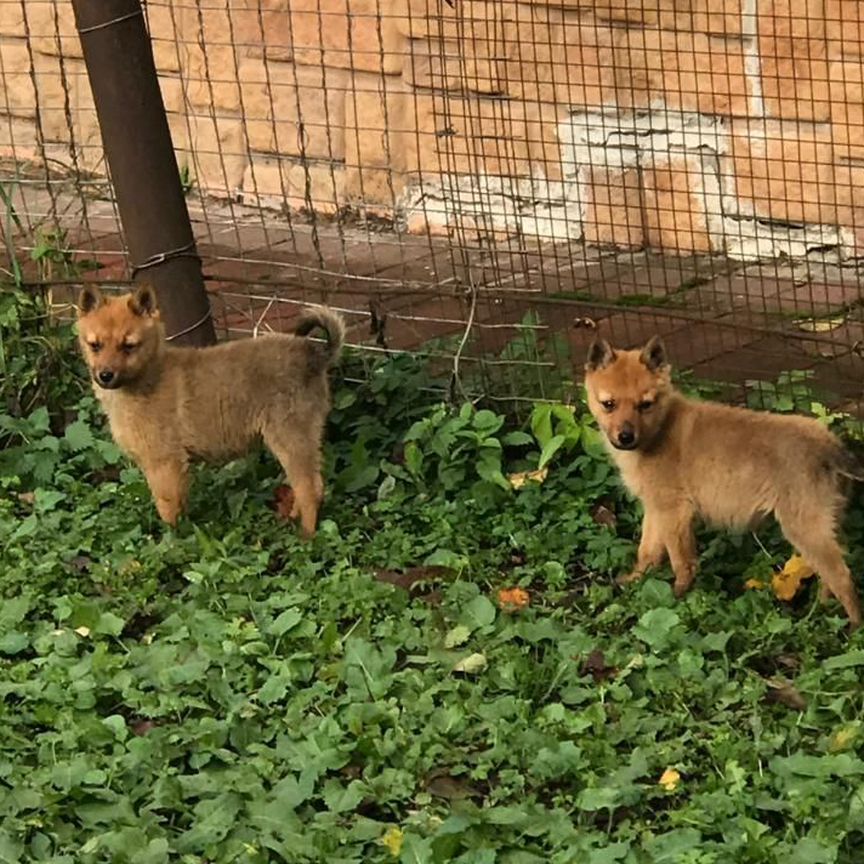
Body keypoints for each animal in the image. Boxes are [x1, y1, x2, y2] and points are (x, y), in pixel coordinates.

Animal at [75, 286, 344, 536]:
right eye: (95, 345)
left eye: (129, 346)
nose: (105, 375)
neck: (147, 378)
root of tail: (315, 355)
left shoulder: (165, 465)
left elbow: (168, 510)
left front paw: (173, 541)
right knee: (307, 486)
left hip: (290, 439)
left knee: (310, 489)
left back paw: (306, 536)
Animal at [584, 336, 860, 628]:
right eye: (609, 404)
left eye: (645, 404)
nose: (625, 437)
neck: (659, 431)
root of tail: (829, 444)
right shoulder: (656, 509)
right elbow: (647, 551)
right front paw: (635, 580)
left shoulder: (674, 512)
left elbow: (681, 561)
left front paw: (679, 597)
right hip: (824, 526)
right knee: (829, 576)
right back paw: (823, 611)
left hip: (804, 528)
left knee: (842, 577)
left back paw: (853, 628)